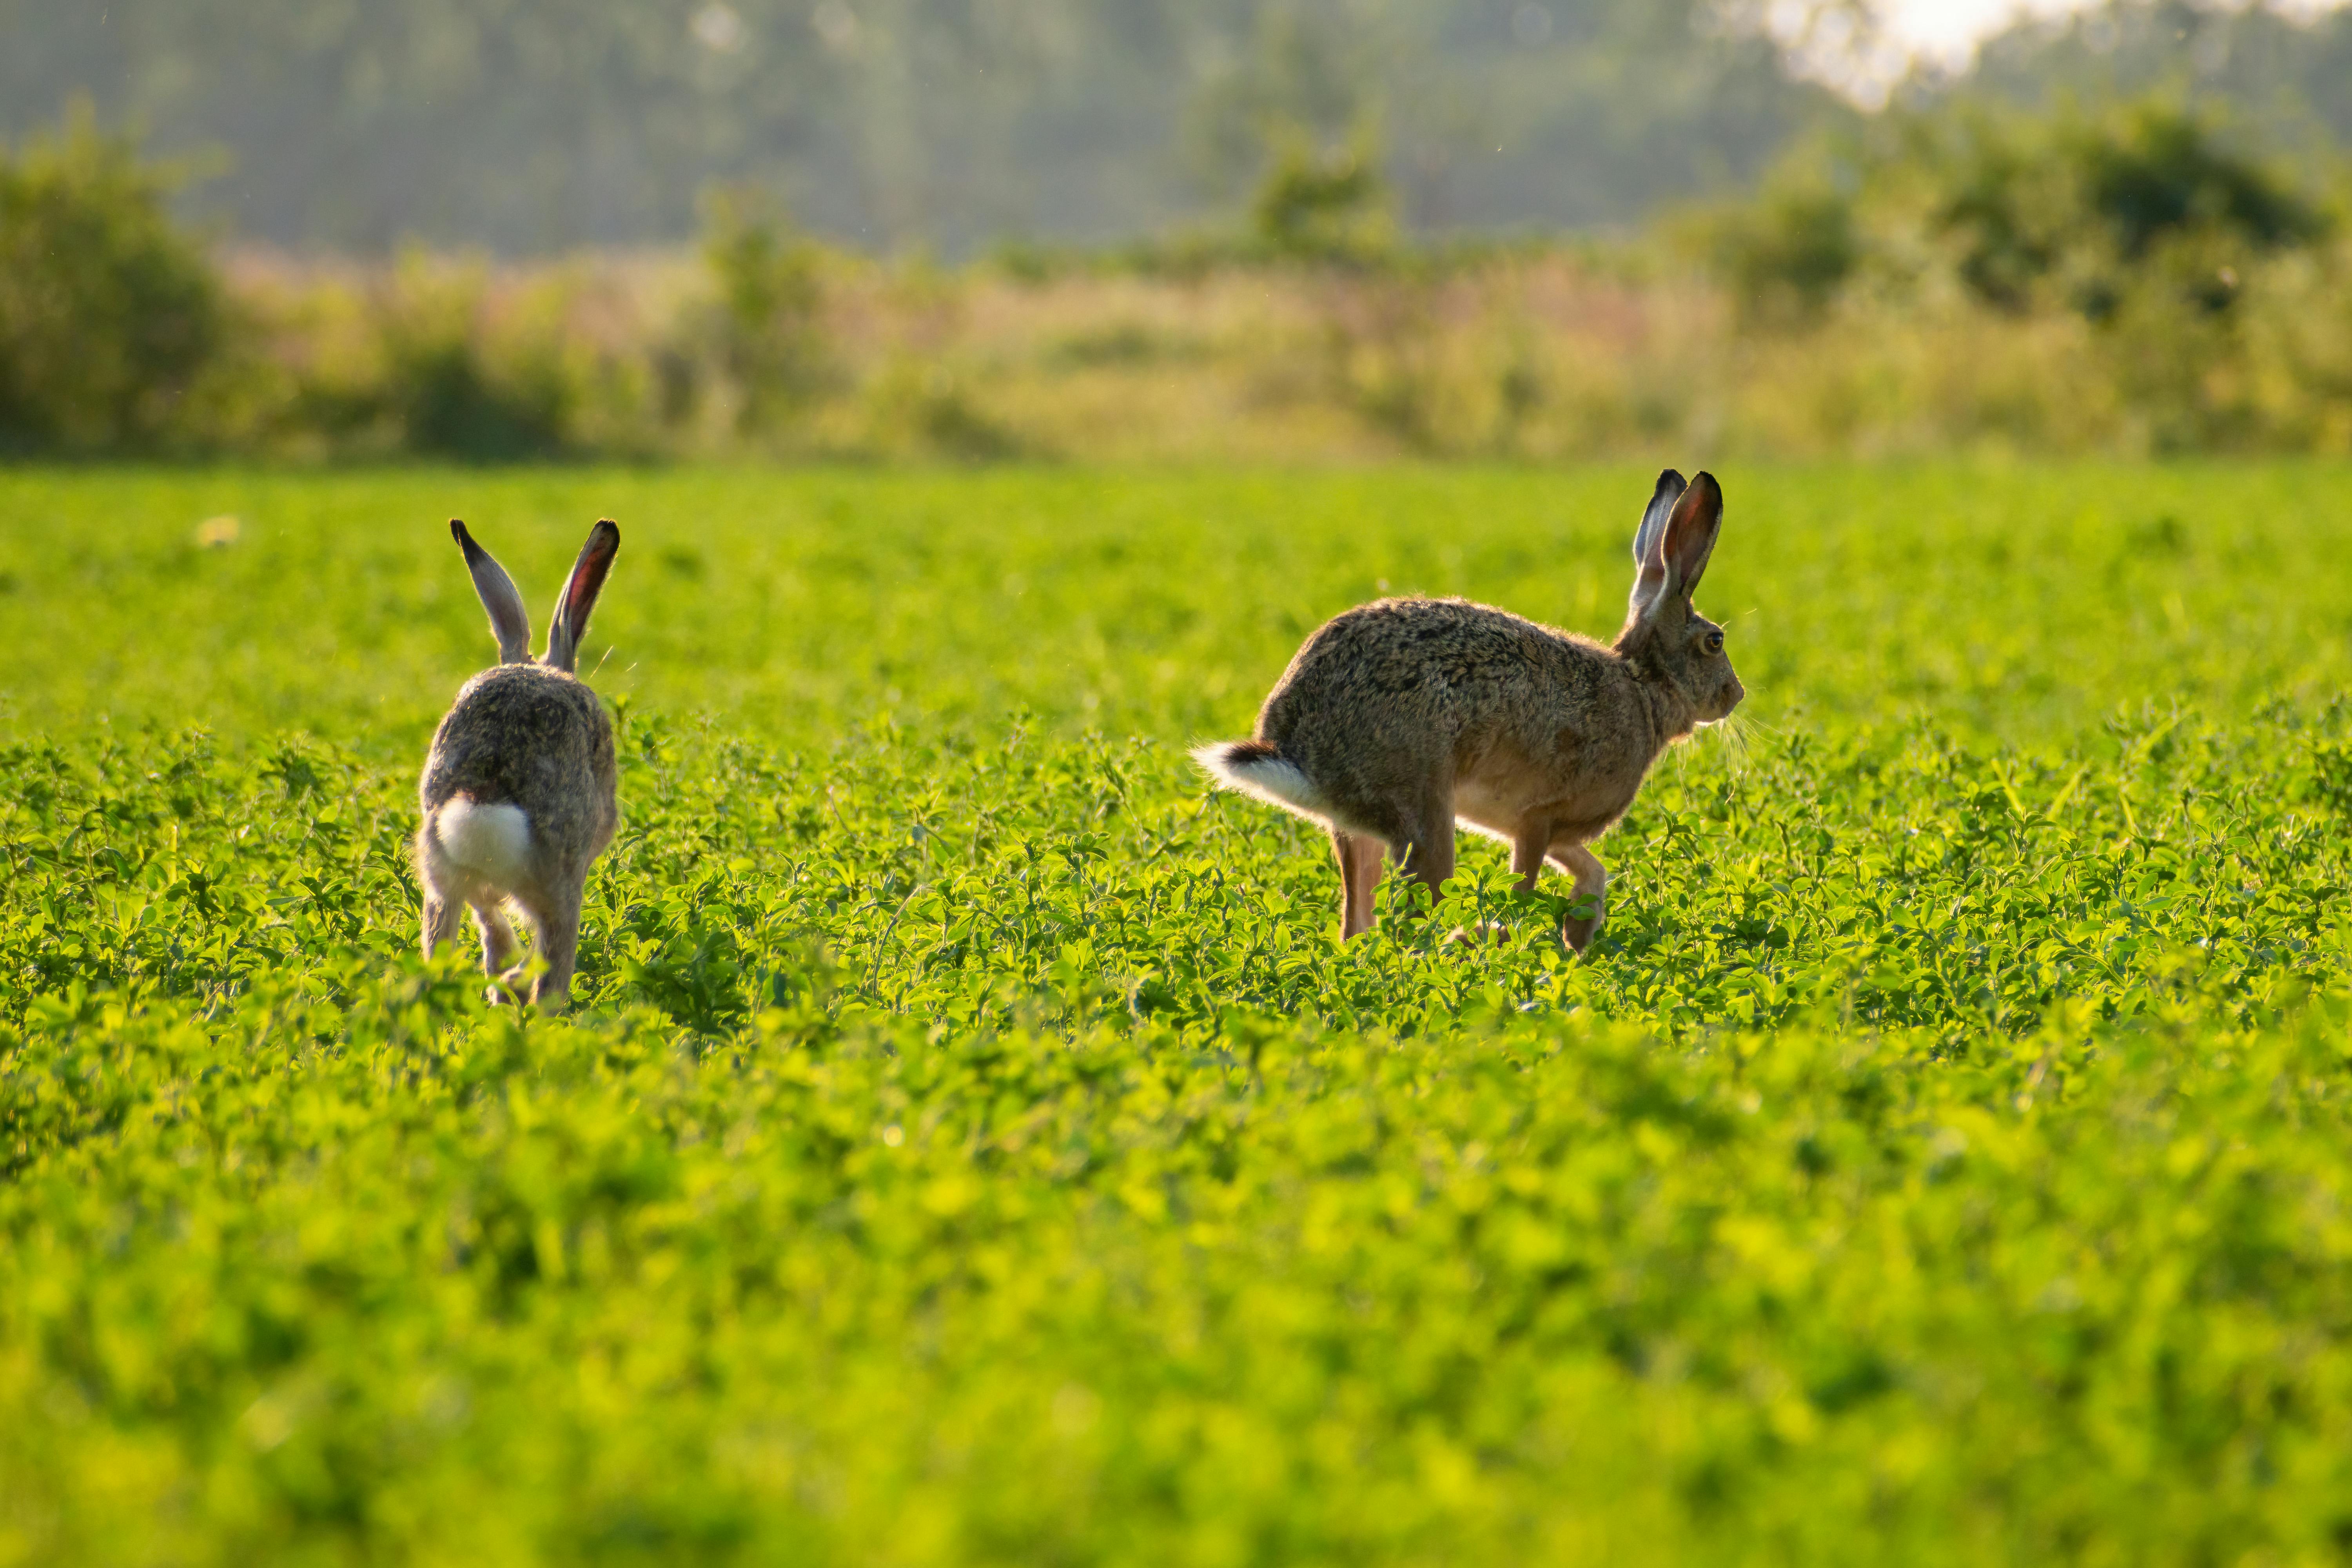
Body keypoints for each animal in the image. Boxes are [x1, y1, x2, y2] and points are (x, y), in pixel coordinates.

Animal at [416, 518, 621, 1009]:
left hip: (439, 870)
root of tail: (488, 790)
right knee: (551, 965)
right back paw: (524, 992)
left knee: (458, 941)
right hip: (562, 875)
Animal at [1194, 469, 1739, 952]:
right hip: (1424, 809)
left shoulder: (1550, 828)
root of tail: (1294, 743)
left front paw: (1577, 934)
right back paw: (1465, 945)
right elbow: (1525, 889)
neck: (1643, 687)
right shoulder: (1539, 818)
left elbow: (1591, 868)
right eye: (1715, 641)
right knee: (1414, 925)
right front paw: (1527, 938)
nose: (1736, 695)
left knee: (1358, 928)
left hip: (1358, 828)